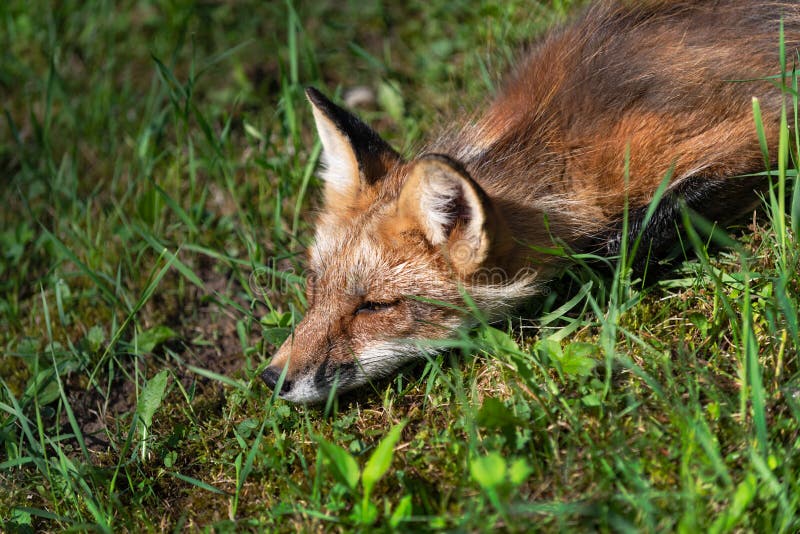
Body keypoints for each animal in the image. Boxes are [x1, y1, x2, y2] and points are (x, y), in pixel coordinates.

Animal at [261, 0, 800, 403]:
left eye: (375, 306)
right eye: (315, 283)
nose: (271, 379)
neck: (561, 153)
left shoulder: (759, 130)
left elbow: (627, 239)